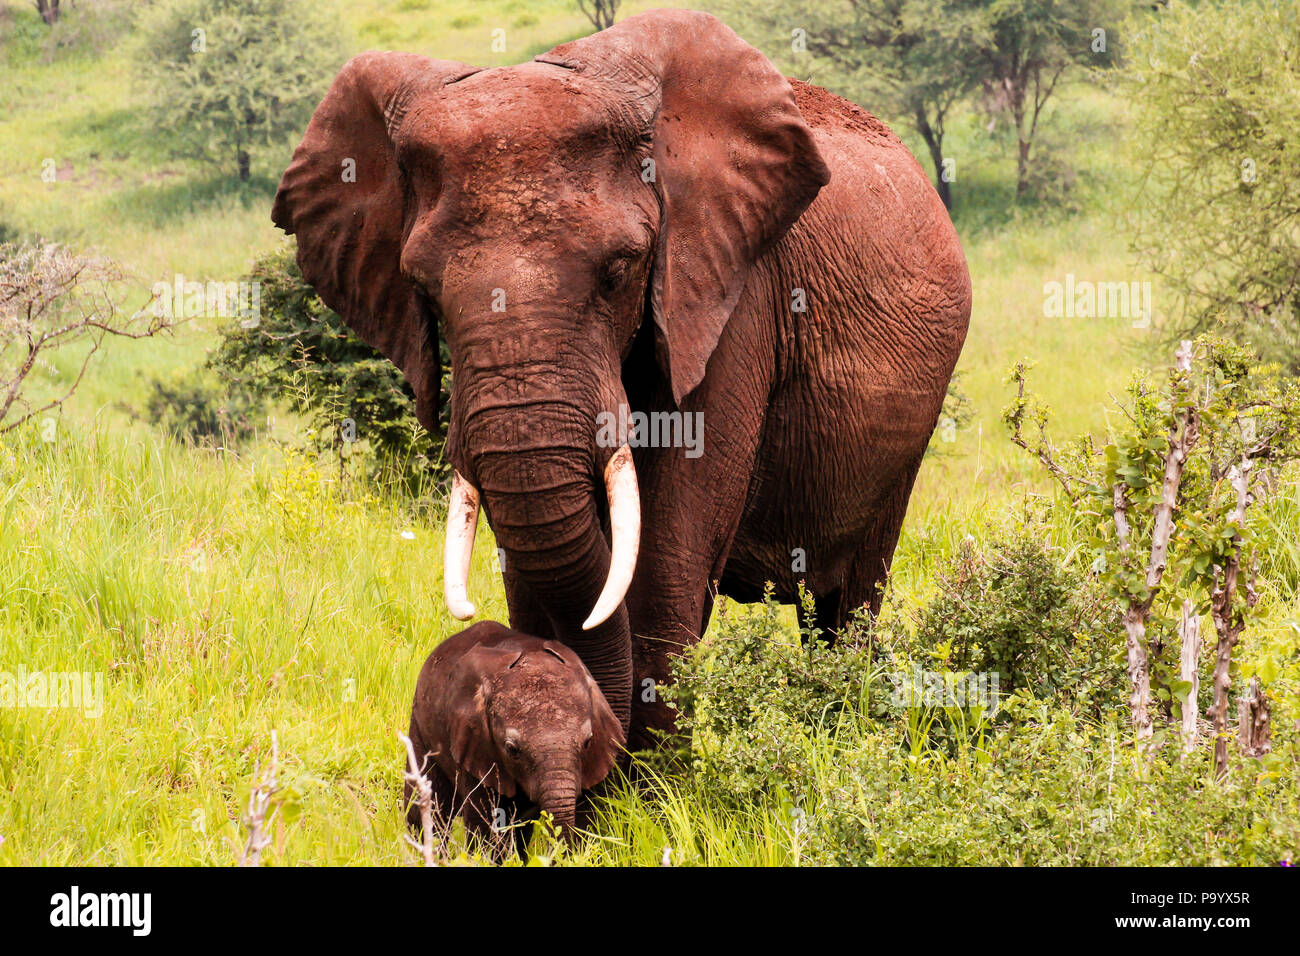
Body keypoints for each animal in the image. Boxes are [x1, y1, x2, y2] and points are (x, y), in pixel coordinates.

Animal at [272, 9, 971, 749]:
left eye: (620, 269)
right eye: (424, 289)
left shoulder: (731, 295)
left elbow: (665, 554)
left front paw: (653, 780)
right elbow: (533, 565)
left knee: (848, 602)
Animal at [404, 620, 623, 855]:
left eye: (587, 742)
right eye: (511, 749)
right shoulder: (475, 745)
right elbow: (486, 822)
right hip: (420, 726)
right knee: (430, 807)